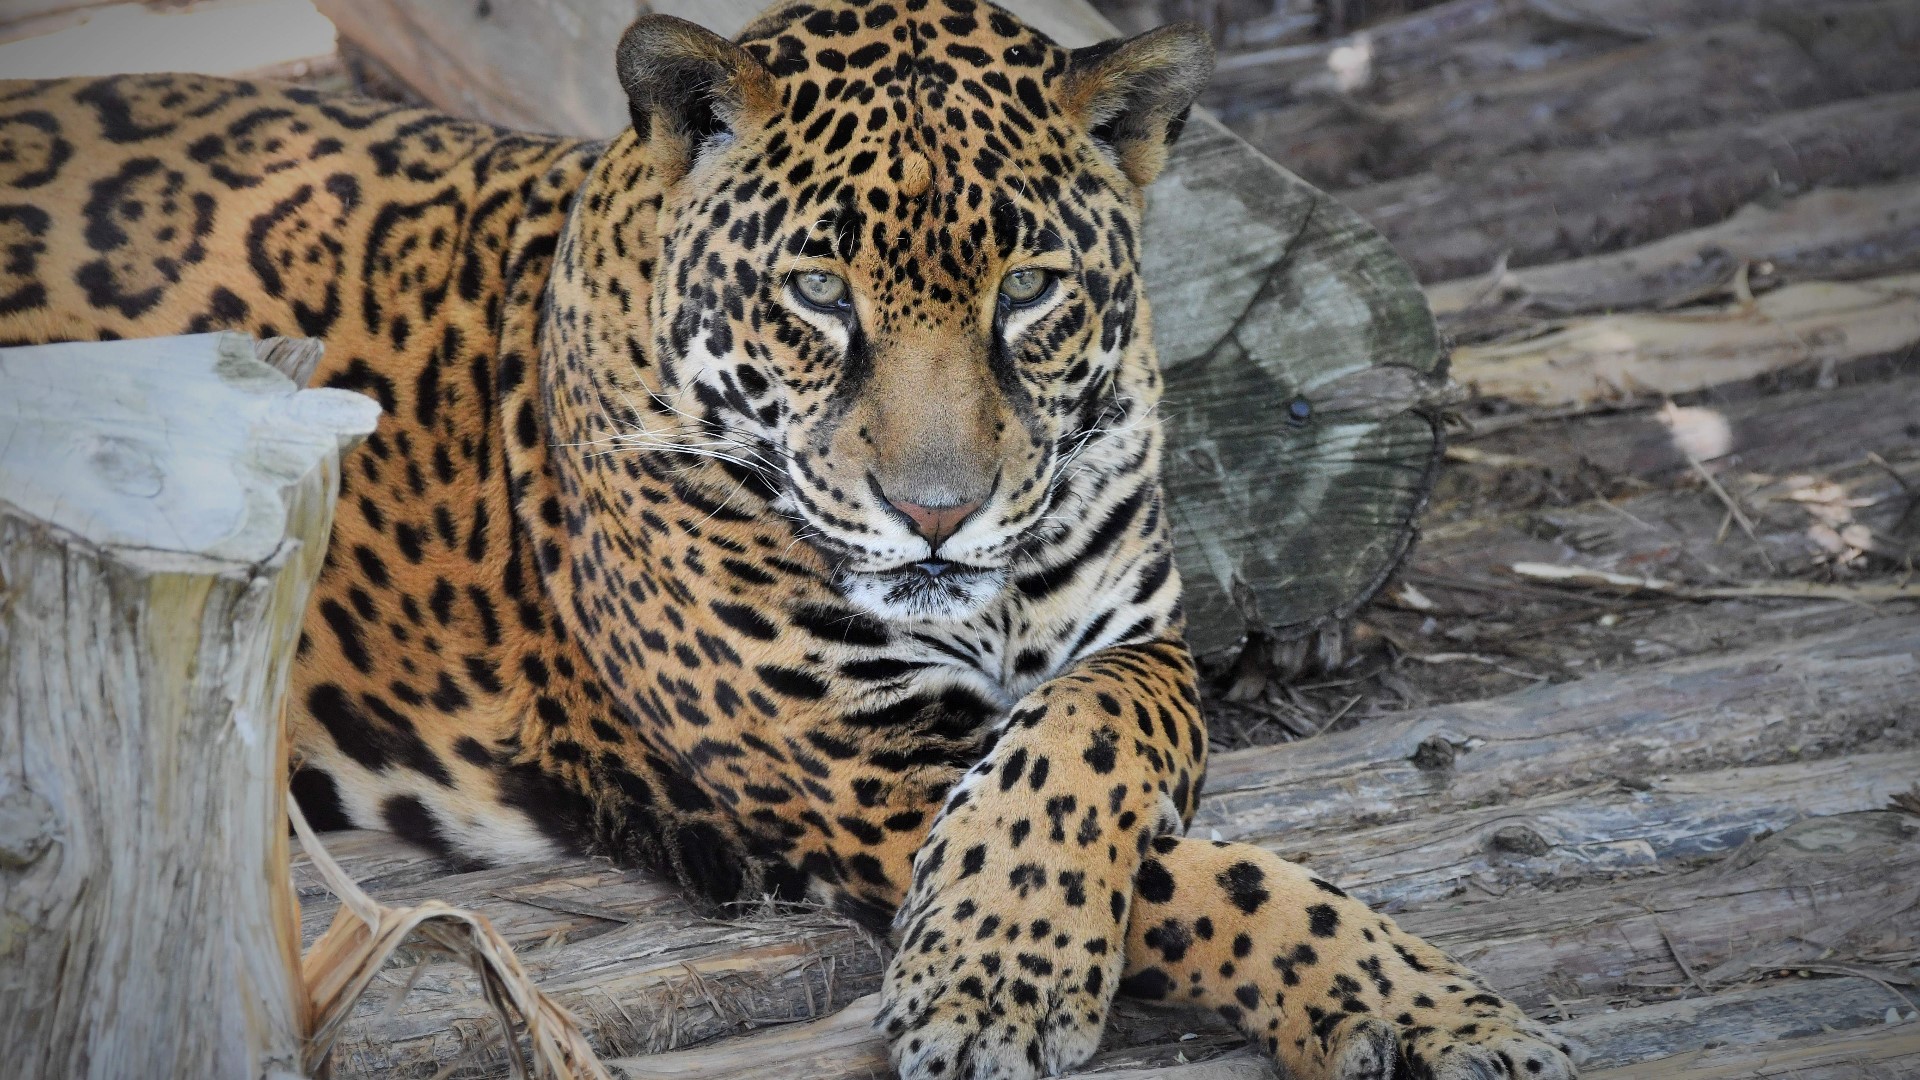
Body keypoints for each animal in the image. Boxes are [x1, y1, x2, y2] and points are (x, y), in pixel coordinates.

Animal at [0, 2, 1578, 1077]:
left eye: (1029, 292)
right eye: (819, 291)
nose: (937, 510)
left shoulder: (1144, 647)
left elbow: (1084, 751)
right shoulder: (855, 768)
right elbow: (1216, 883)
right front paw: (1000, 988)